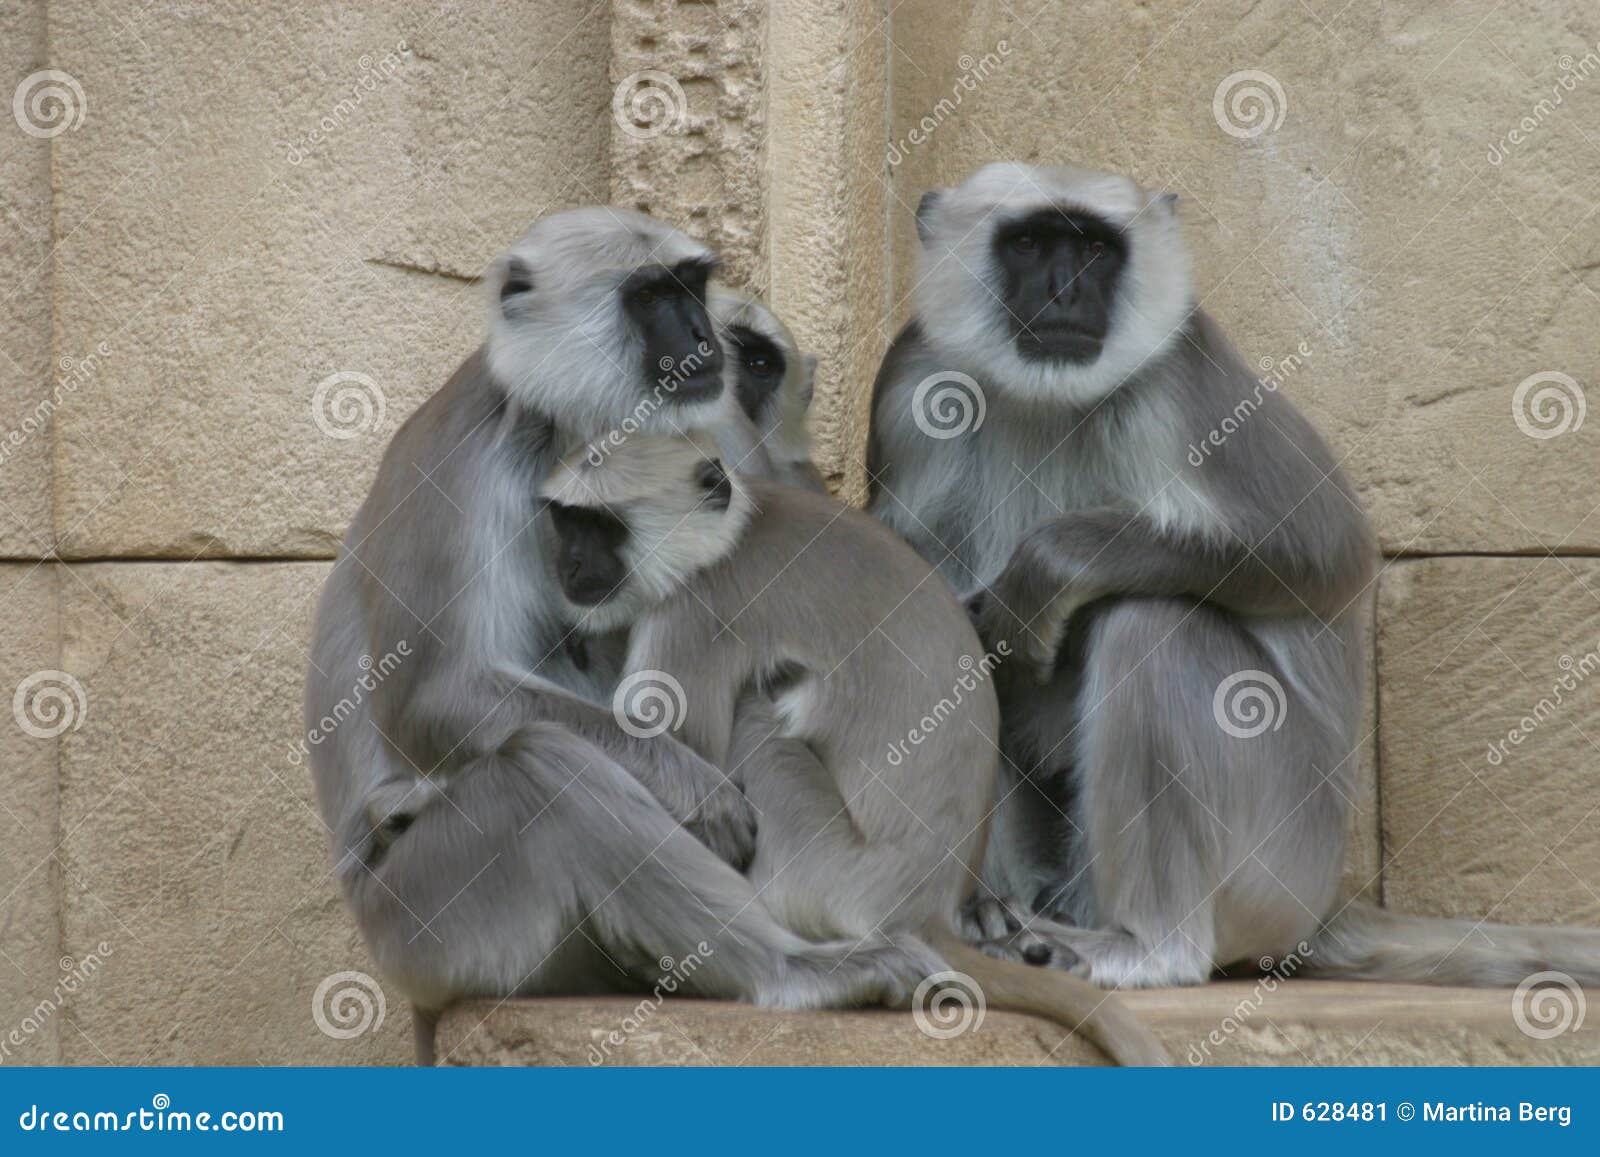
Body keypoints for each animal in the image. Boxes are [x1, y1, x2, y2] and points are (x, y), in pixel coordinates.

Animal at [541, 431, 1170, 1066]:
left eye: (602, 527)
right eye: (566, 522)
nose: (568, 564)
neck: (735, 531)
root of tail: (929, 910)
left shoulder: (700, 602)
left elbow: (689, 763)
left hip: (822, 864)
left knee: (754, 713)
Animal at [866, 161, 1600, 990]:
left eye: (1093, 249)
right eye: (1028, 244)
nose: (1064, 291)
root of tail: (1325, 904)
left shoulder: (1184, 374)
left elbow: (1329, 548)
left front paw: (1048, 572)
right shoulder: (911, 380)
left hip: (1282, 852)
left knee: (1151, 622)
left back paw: (1147, 947)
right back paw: (986, 912)